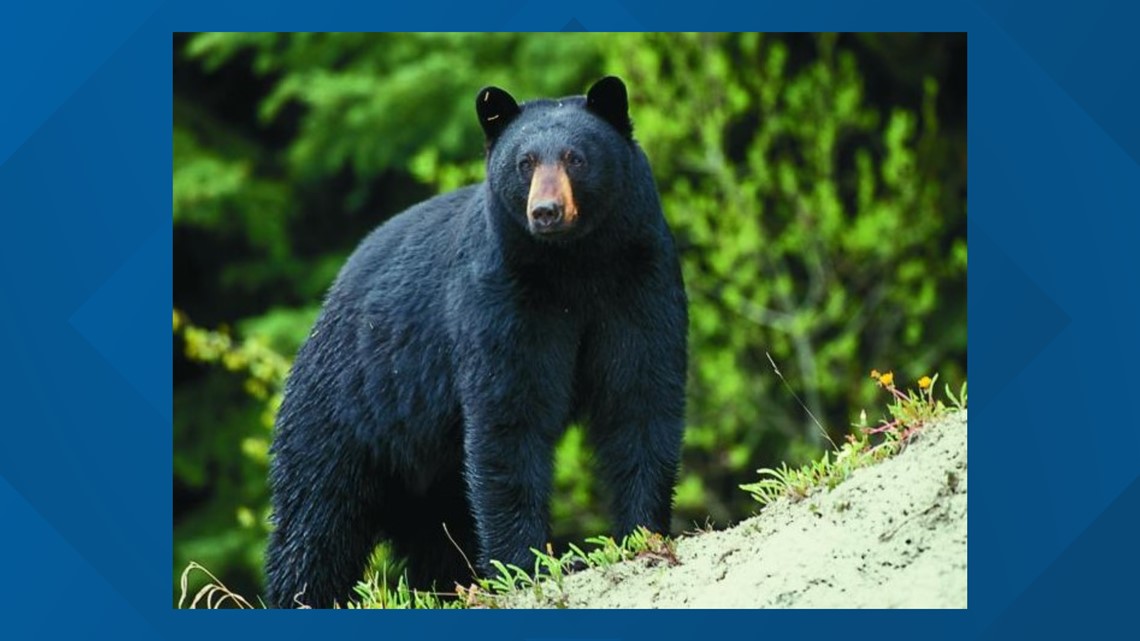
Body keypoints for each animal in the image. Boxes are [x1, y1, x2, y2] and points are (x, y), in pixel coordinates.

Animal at [263, 76, 688, 608]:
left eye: (576, 157)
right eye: (524, 162)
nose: (546, 212)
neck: (574, 263)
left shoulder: (638, 280)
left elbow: (640, 394)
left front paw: (642, 533)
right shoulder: (502, 298)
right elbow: (509, 417)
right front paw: (529, 563)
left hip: (427, 471)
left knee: (436, 532)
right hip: (346, 413)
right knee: (316, 517)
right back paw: (300, 593)